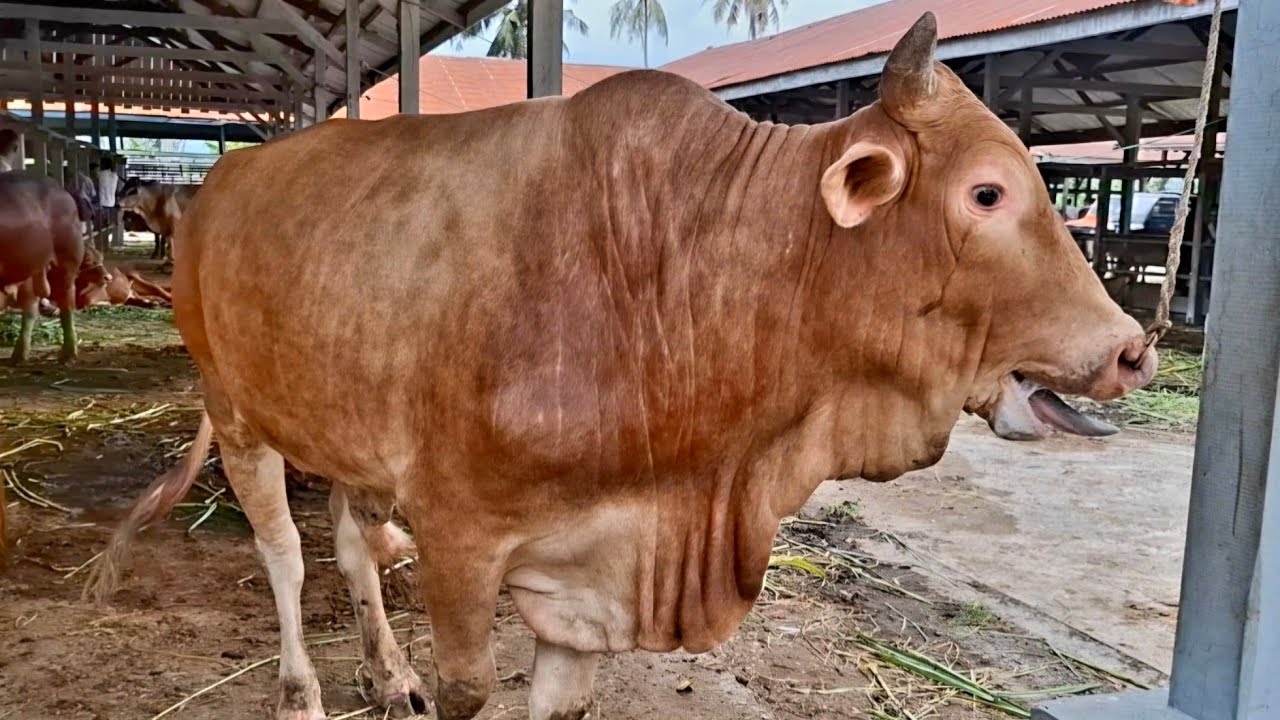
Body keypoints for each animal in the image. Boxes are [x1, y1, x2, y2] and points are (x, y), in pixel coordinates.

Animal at [0, 171, 109, 363]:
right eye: (91, 262)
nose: (107, 277)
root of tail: (61, 189)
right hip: (30, 268)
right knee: (31, 308)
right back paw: (20, 353)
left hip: (65, 266)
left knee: (66, 305)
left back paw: (69, 353)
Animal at [89, 15, 1157, 720]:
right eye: (986, 193)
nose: (1132, 350)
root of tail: (215, 185)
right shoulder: (461, 536)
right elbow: (466, 686)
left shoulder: (592, 572)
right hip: (238, 413)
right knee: (285, 554)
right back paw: (301, 689)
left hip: (348, 433)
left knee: (352, 548)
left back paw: (384, 672)